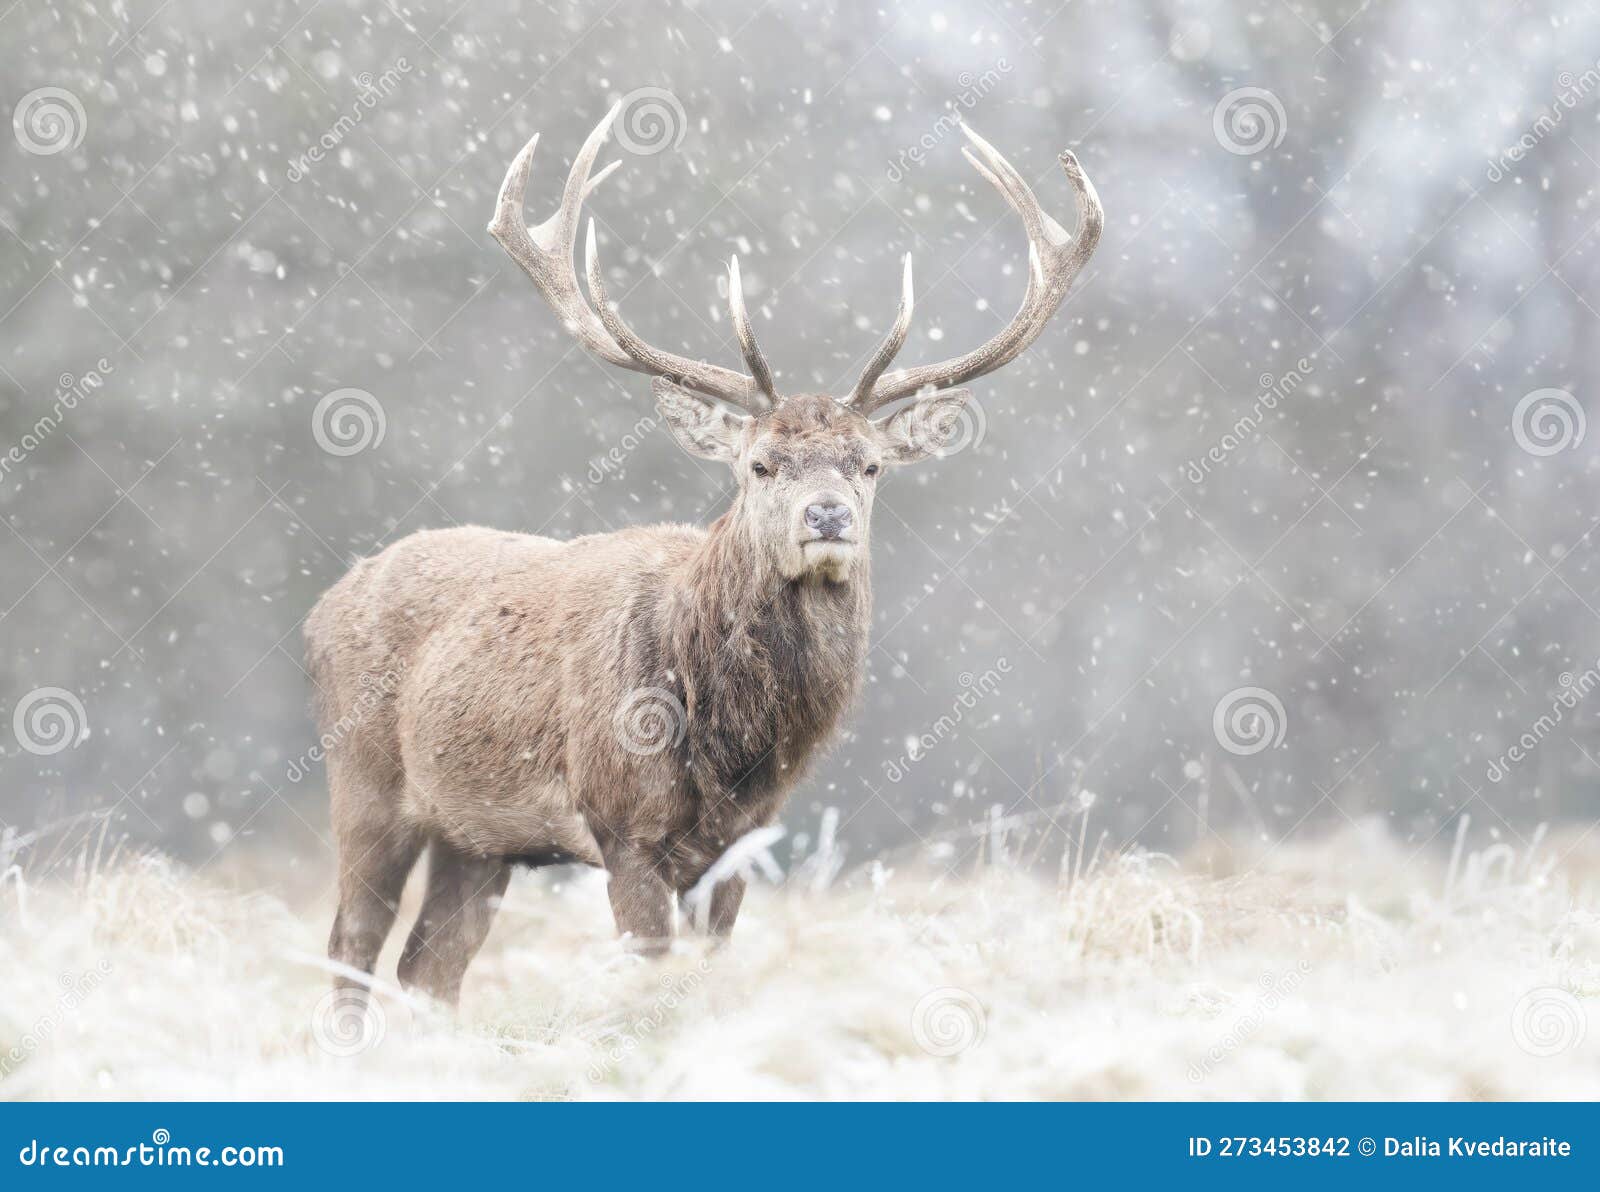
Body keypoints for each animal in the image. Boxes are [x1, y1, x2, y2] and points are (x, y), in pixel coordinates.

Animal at [305, 101, 1101, 1009]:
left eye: (868, 466)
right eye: (760, 465)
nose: (828, 516)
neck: (731, 743)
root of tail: (323, 606)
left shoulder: (742, 842)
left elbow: (710, 969)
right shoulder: (622, 824)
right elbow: (650, 975)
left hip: (477, 835)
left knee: (430, 965)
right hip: (362, 779)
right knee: (352, 944)